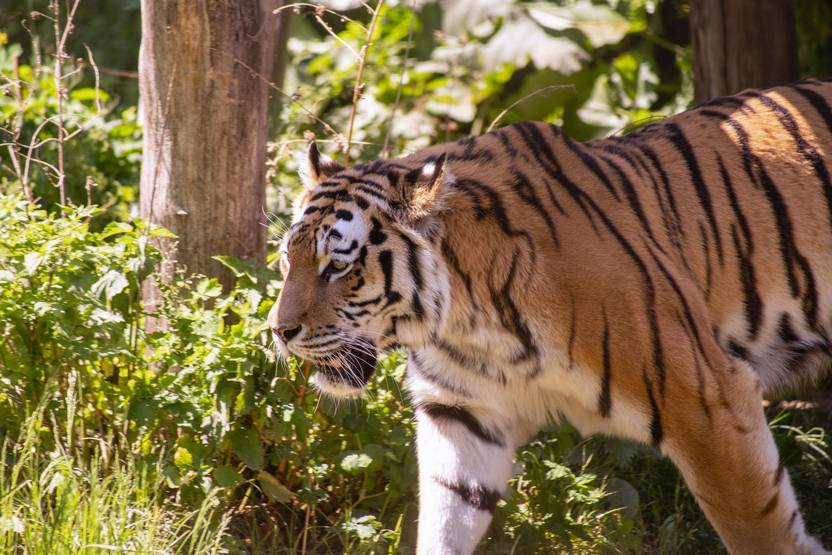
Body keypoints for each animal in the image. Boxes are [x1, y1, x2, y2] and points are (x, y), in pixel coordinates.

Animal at [267, 81, 832, 554]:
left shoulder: (707, 401)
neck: (470, 324)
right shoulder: (464, 414)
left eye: (338, 266)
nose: (280, 331)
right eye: (287, 260)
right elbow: (445, 519)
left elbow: (759, 529)